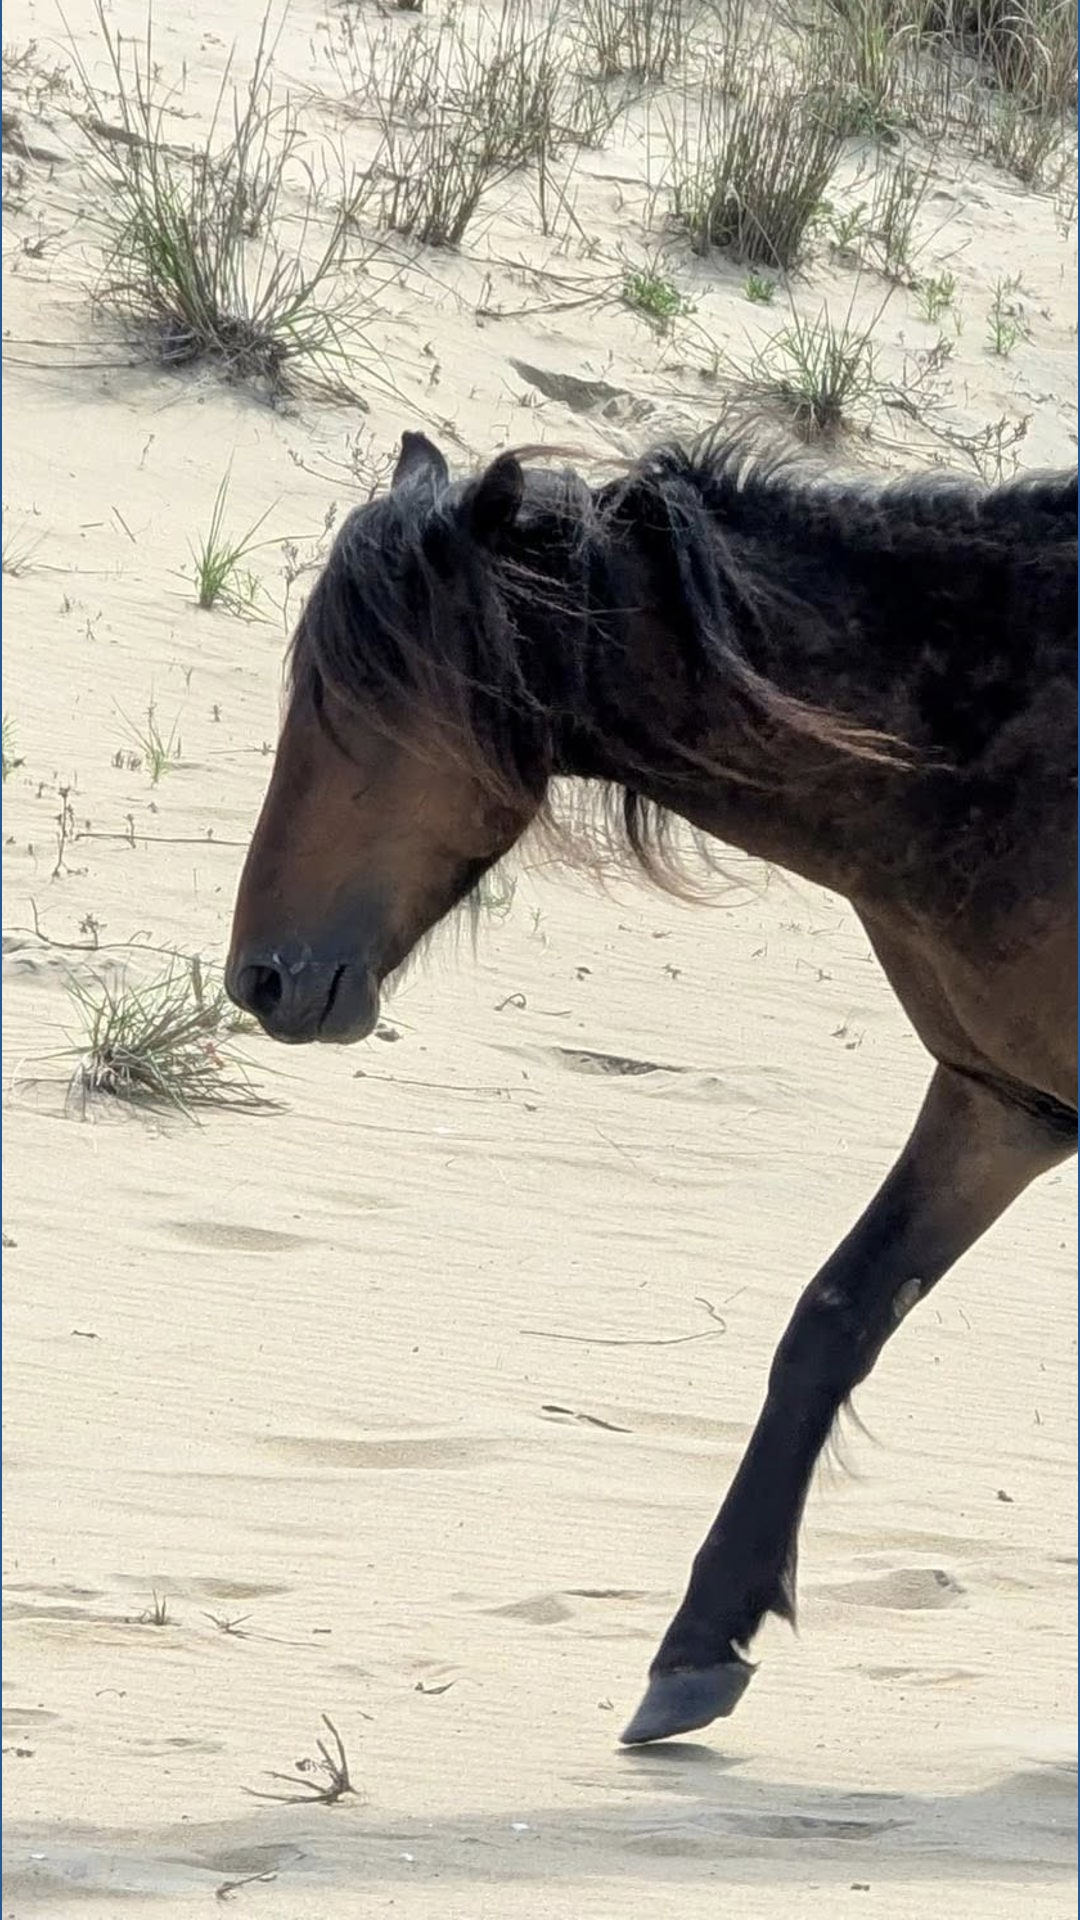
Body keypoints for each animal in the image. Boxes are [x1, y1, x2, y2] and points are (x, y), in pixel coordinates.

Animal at [226, 427, 1078, 1746]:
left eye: (367, 697)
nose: (262, 977)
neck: (1002, 754)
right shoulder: (1000, 1104)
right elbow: (833, 1320)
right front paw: (697, 1648)